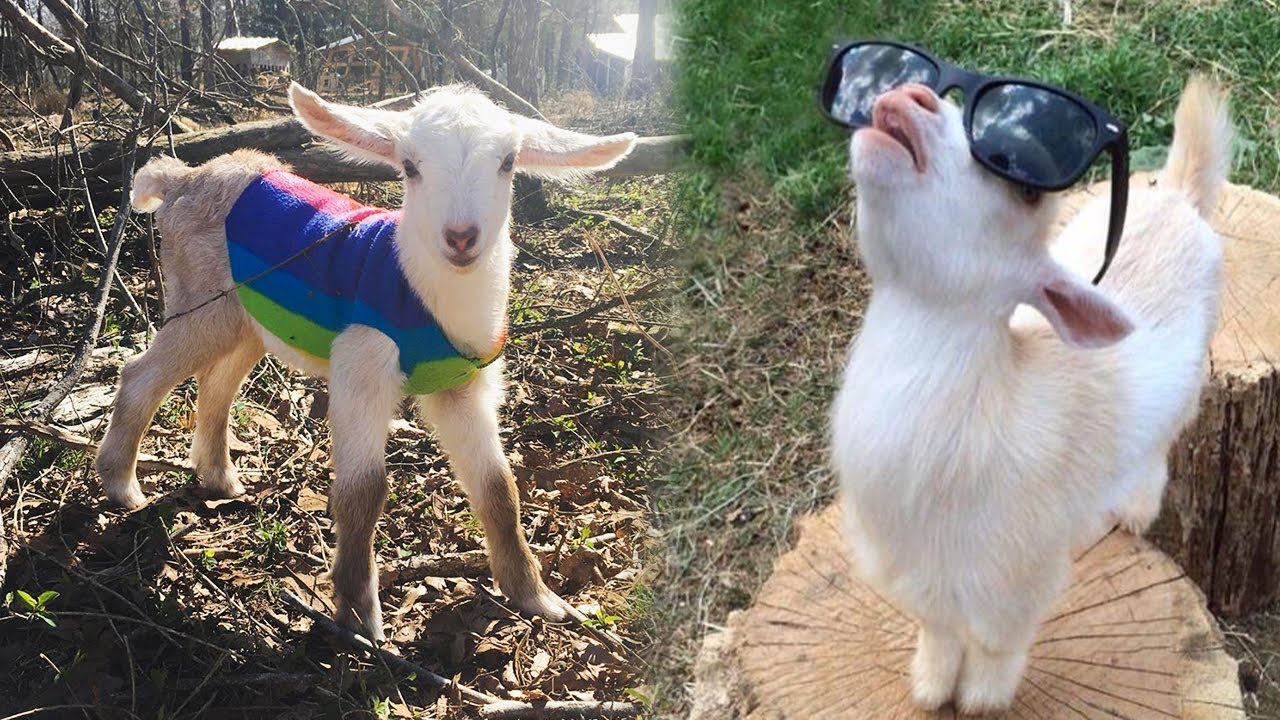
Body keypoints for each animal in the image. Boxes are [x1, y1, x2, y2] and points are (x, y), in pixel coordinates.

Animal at [95, 83, 637, 642]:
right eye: (410, 166)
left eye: (509, 162)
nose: (461, 236)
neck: (419, 290)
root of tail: (180, 178)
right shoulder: (362, 360)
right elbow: (364, 491)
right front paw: (359, 616)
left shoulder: (465, 386)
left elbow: (499, 487)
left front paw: (538, 597)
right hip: (201, 299)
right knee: (141, 374)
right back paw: (121, 486)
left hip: (247, 318)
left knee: (217, 381)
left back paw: (219, 477)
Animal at [829, 77, 1231, 712]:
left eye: (1024, 189)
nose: (908, 96)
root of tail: (1176, 196)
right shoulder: (919, 573)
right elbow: (939, 631)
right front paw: (929, 688)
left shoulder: (1018, 577)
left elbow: (996, 646)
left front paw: (981, 701)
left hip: (1192, 381)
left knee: (1166, 440)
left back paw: (1135, 510)